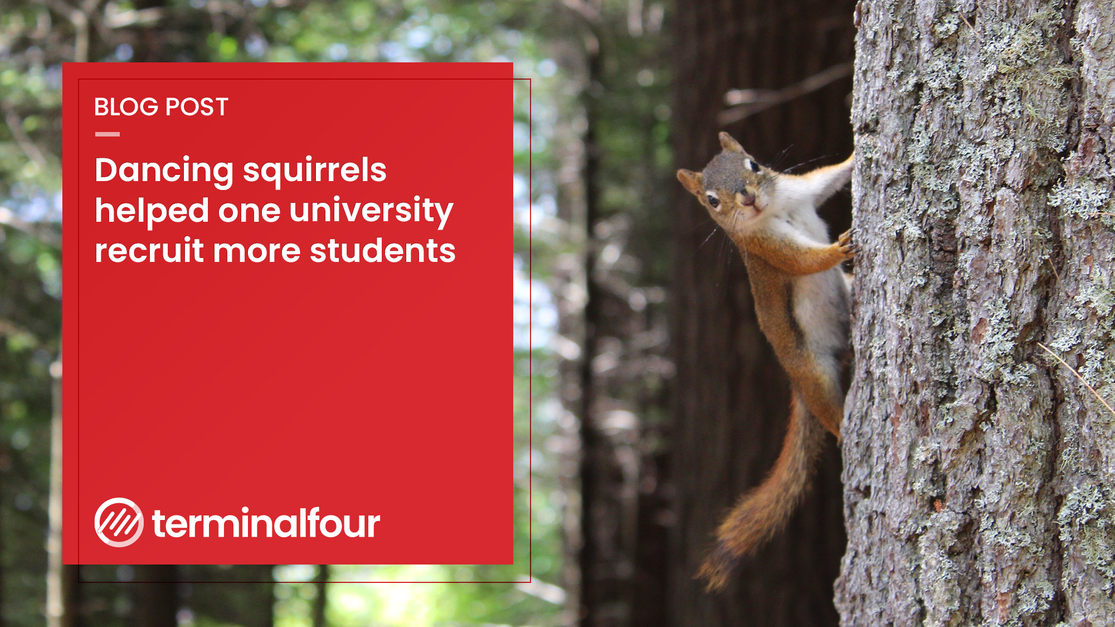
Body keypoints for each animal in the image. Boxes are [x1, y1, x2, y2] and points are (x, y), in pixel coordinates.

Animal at [677, 132, 855, 592]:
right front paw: (837, 248)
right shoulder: (765, 248)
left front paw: (856, 153)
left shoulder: (800, 190)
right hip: (813, 372)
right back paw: (845, 430)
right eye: (711, 201)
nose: (747, 198)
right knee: (829, 411)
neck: (774, 209)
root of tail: (795, 383)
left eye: (754, 164)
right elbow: (803, 260)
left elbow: (828, 178)